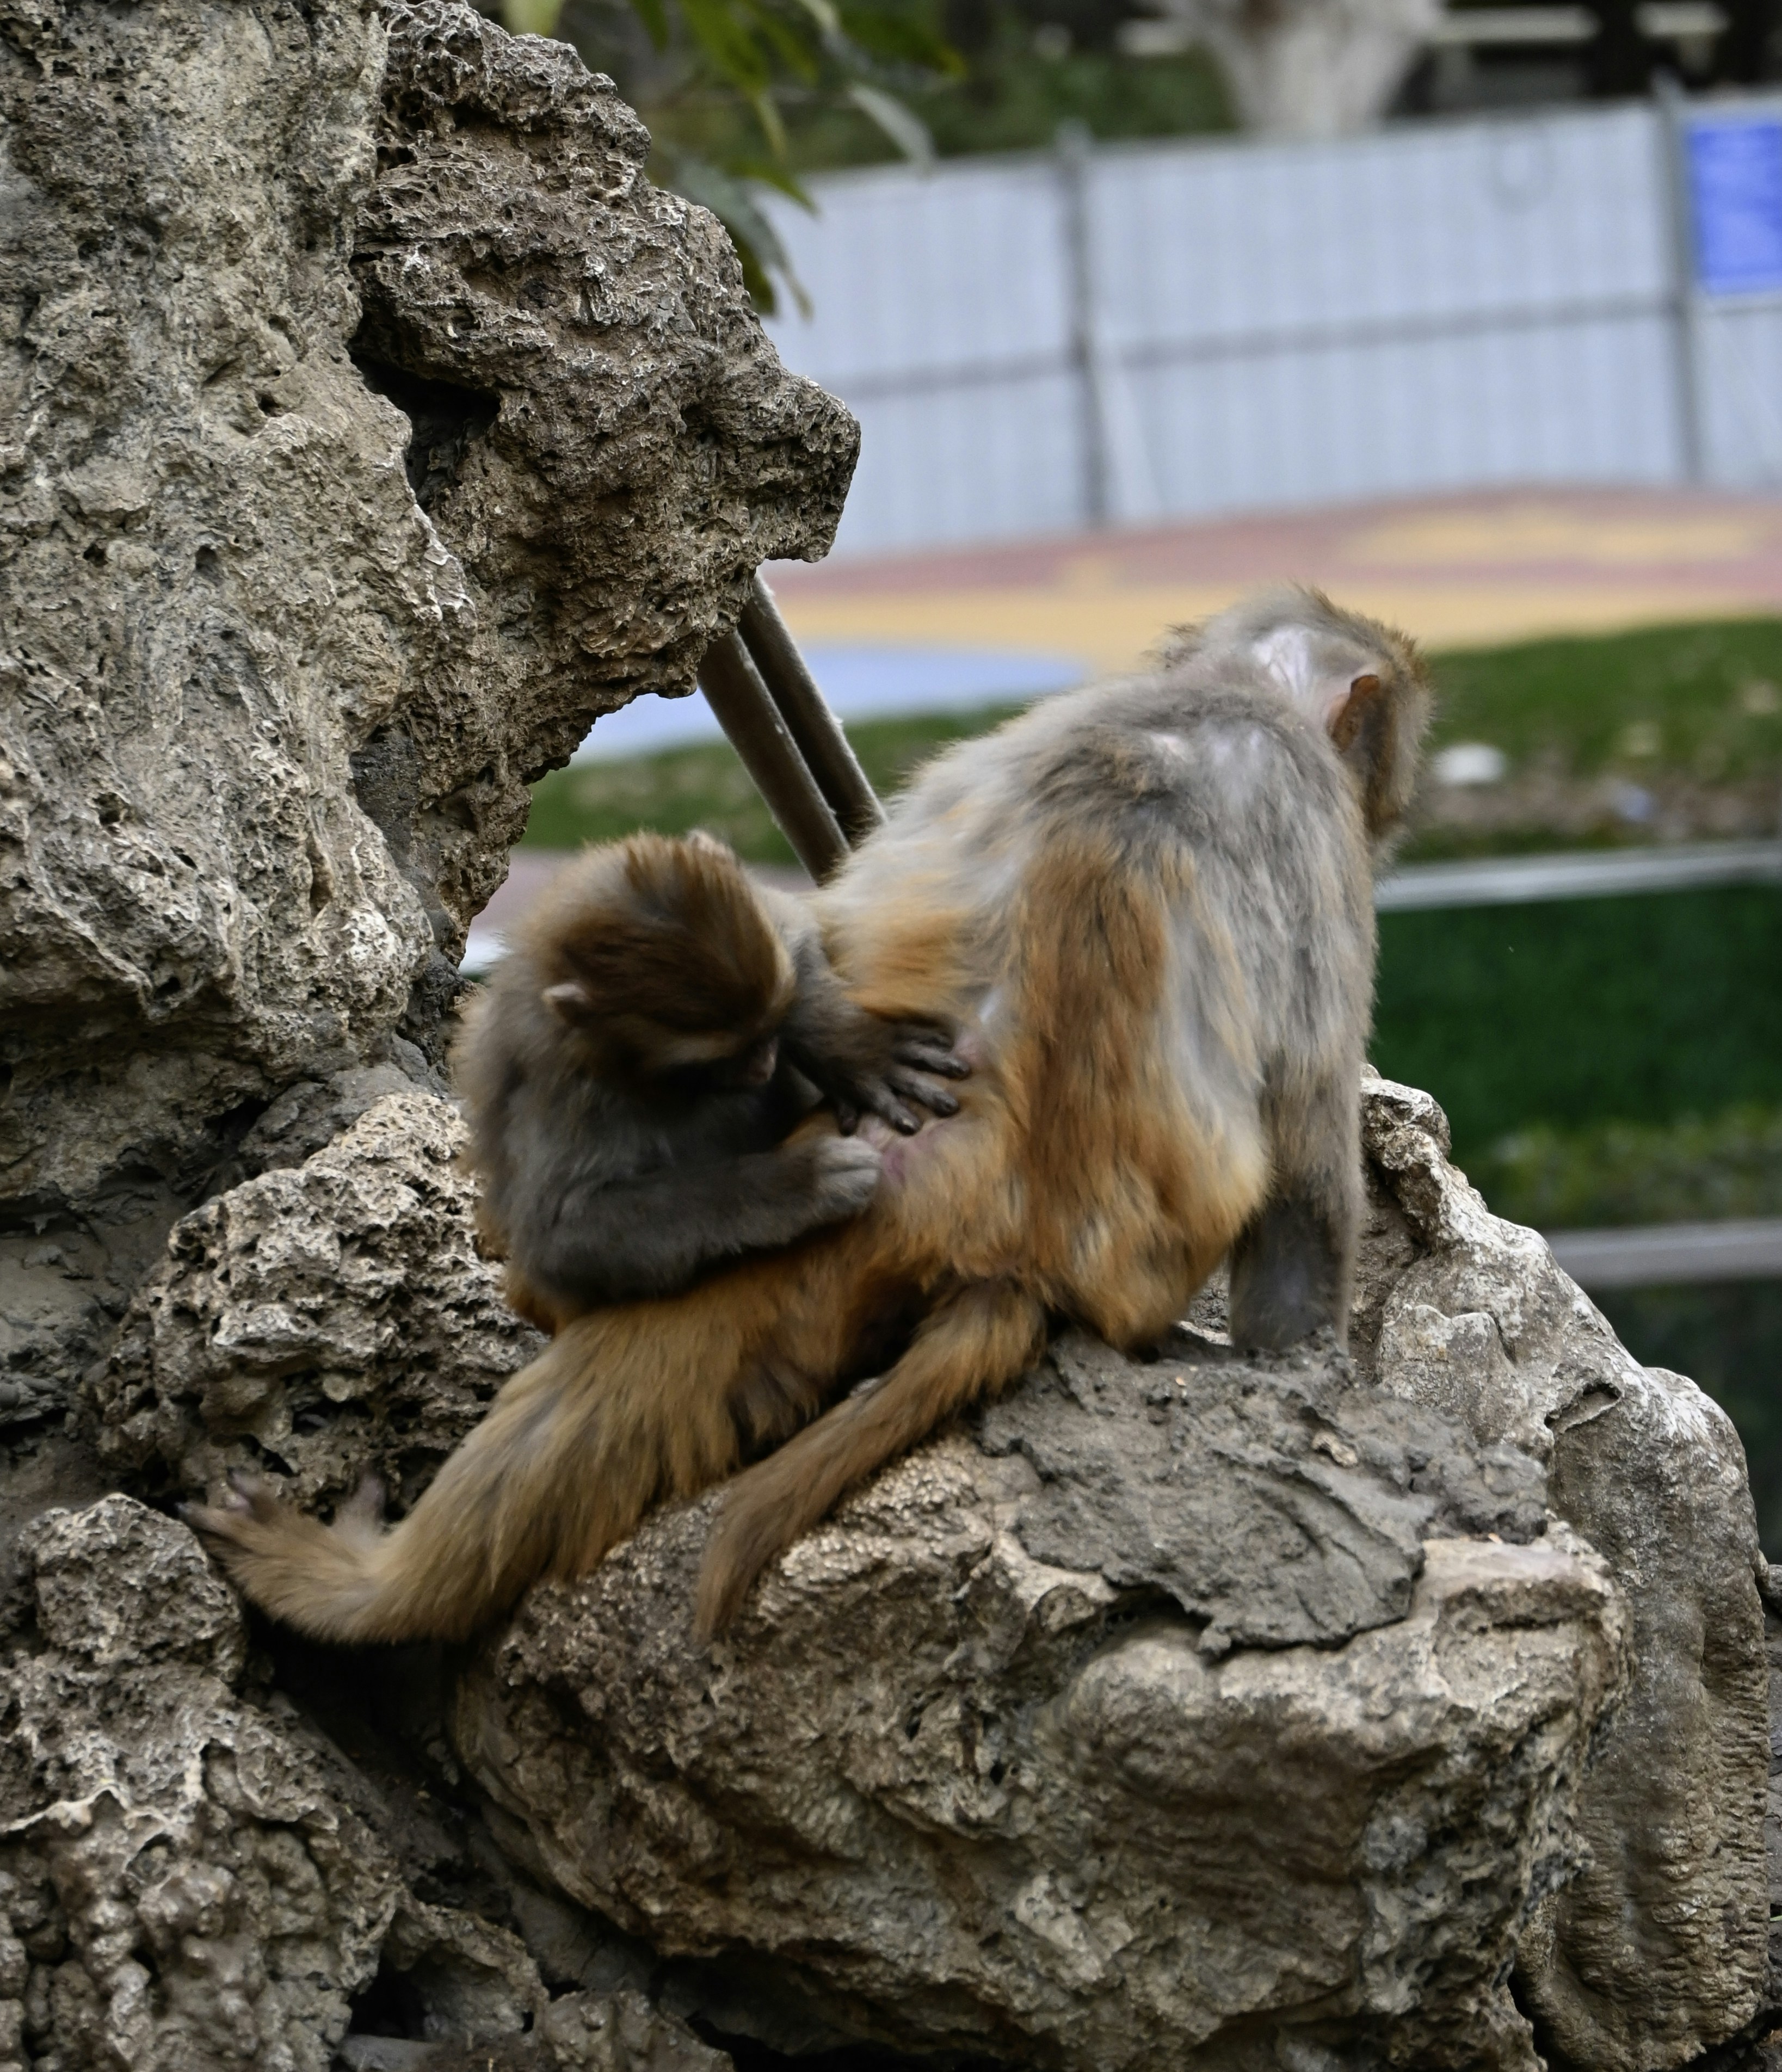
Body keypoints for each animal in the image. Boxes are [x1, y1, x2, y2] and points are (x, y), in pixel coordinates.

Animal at [455, 830, 969, 1330]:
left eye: (767, 1030)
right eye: (712, 1061)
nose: (763, 1065)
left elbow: (794, 929)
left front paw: (852, 1051)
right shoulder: (566, 1092)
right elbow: (564, 1234)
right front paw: (797, 1182)